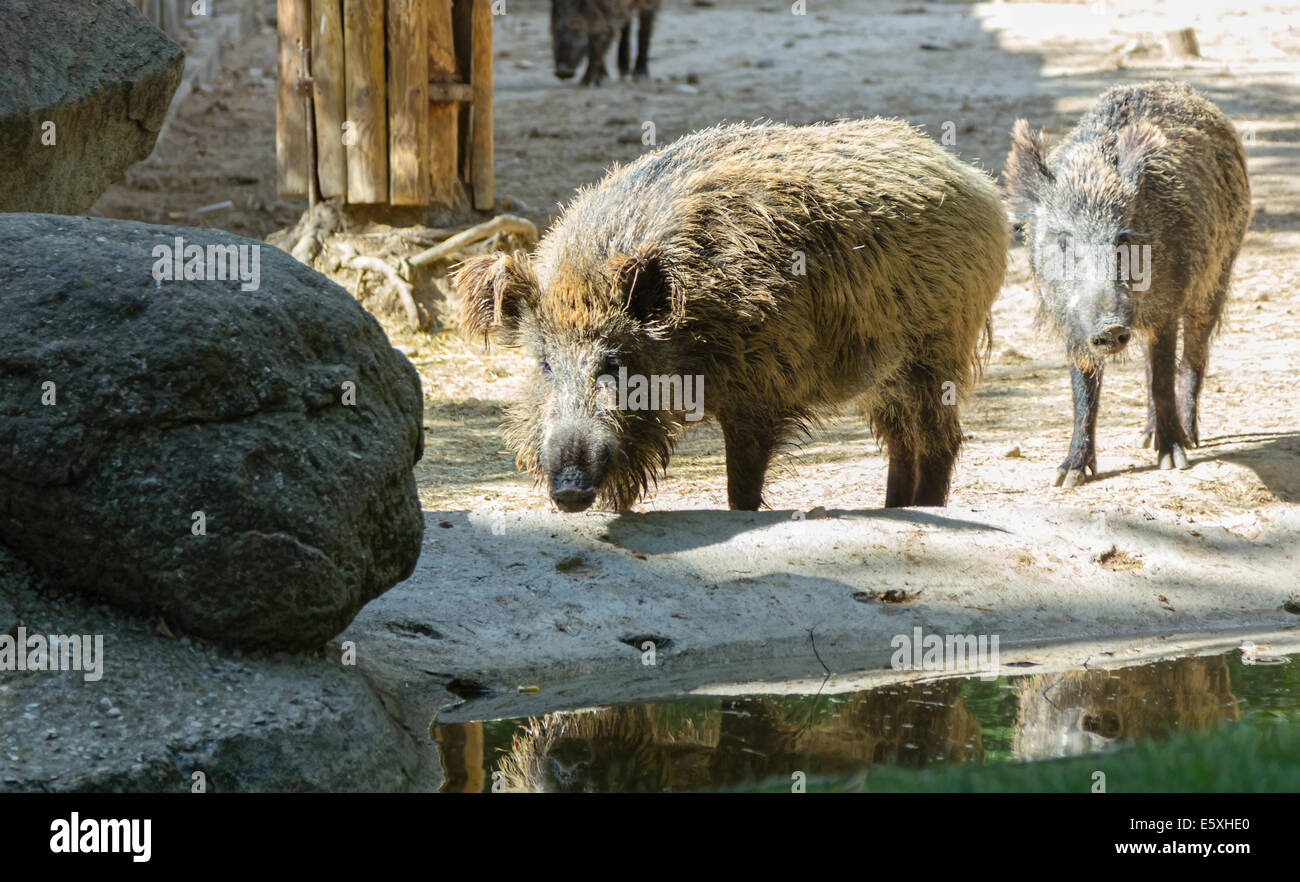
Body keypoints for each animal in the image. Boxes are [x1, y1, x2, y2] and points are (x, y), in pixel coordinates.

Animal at [454, 119, 1009, 512]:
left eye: (614, 362)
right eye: (545, 364)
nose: (568, 489)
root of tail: (977, 183)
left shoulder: (760, 391)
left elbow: (741, 489)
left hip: (938, 349)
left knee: (940, 441)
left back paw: (923, 510)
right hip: (886, 373)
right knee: (901, 440)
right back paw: (894, 509)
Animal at [1004, 81, 1251, 486]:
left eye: (1122, 239)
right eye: (1064, 241)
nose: (1111, 327)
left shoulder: (1168, 304)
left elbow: (1164, 377)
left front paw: (1173, 461)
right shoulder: (1071, 321)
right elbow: (1083, 390)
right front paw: (1067, 476)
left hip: (1217, 275)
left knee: (1193, 357)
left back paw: (1189, 438)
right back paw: (1146, 438)